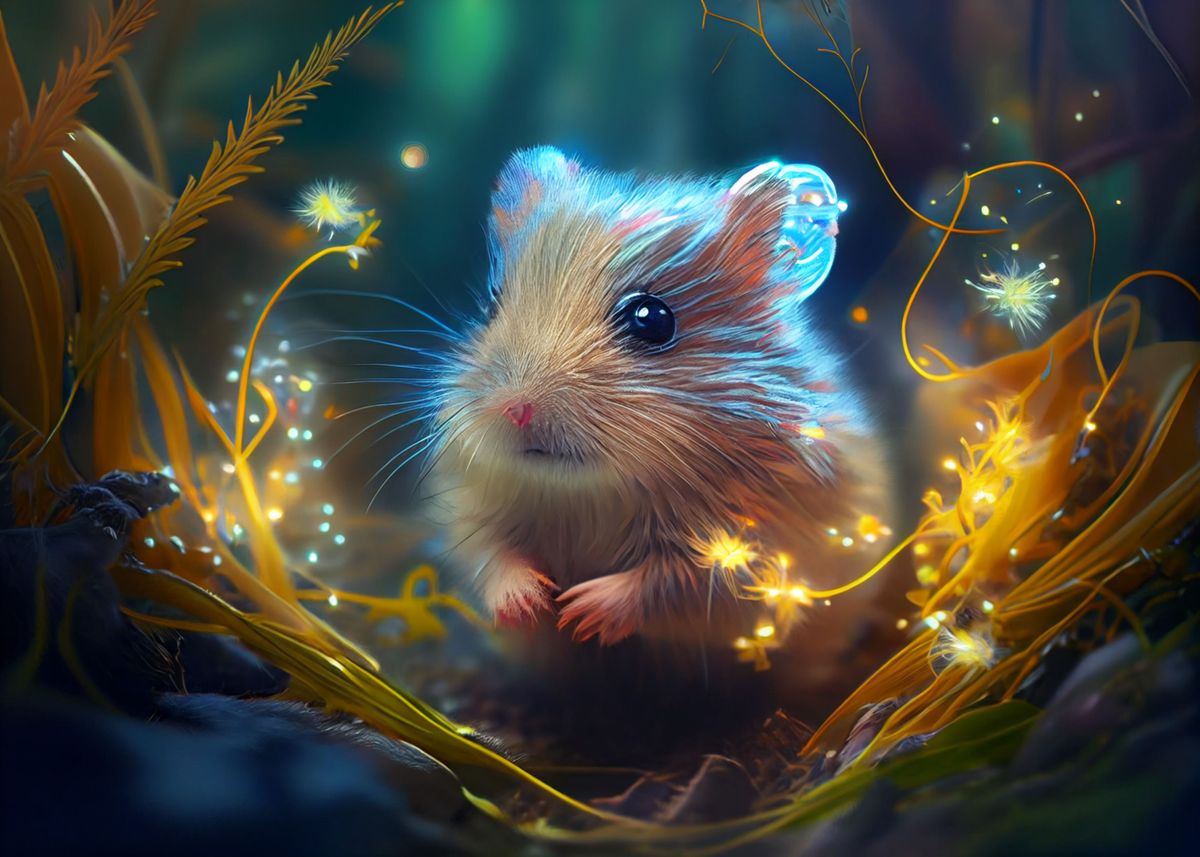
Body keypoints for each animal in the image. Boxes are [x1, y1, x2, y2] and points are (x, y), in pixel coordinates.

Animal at [429, 147, 895, 664]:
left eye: (651, 319)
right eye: (491, 306)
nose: (515, 410)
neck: (589, 493)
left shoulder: (758, 544)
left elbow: (676, 582)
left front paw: (578, 611)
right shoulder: (467, 504)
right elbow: (490, 554)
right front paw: (533, 606)